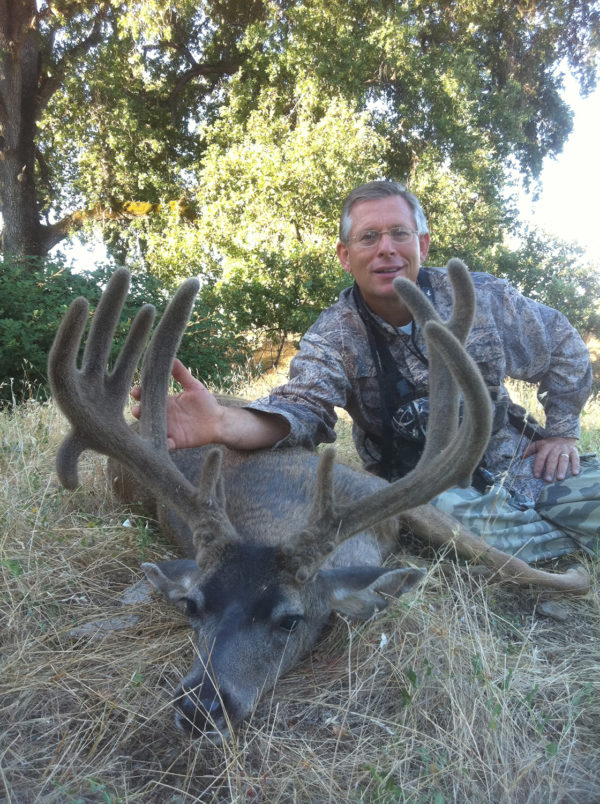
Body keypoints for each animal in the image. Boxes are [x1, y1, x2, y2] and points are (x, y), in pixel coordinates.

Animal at [48, 262, 590, 740]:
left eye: (291, 620)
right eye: (192, 607)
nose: (200, 708)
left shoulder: (386, 494)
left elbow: (507, 562)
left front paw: (576, 576)